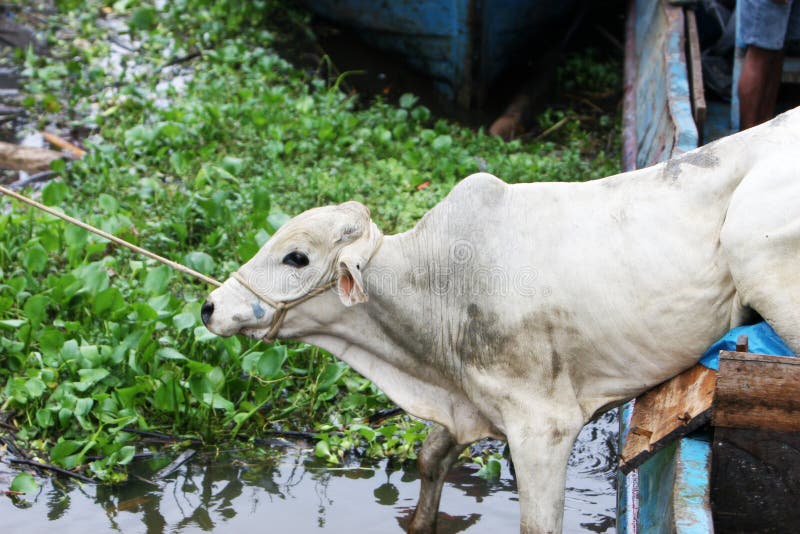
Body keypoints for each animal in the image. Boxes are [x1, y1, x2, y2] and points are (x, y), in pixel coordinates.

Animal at [201, 108, 800, 533]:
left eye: (296, 258)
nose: (209, 307)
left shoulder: (544, 428)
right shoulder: (466, 403)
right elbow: (429, 461)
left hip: (761, 262)